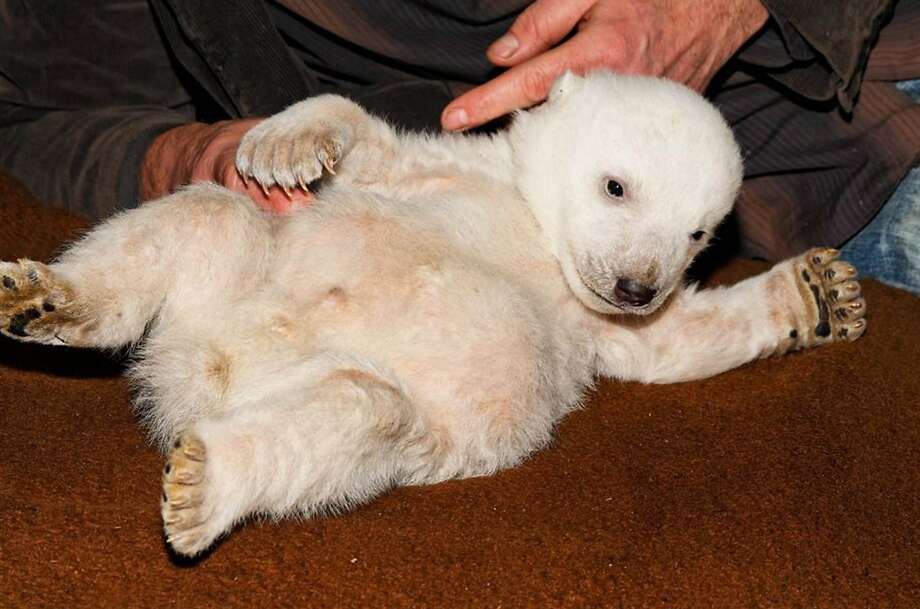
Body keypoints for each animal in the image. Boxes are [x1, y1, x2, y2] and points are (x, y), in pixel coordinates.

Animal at [0, 72, 866, 556]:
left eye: (699, 233)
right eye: (617, 185)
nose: (636, 286)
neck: (539, 232)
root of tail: (200, 375)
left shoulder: (602, 331)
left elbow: (679, 341)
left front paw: (820, 292)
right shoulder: (454, 169)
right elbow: (375, 148)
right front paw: (287, 145)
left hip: (386, 430)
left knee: (350, 416)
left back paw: (201, 483)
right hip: (232, 279)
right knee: (209, 218)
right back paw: (45, 298)